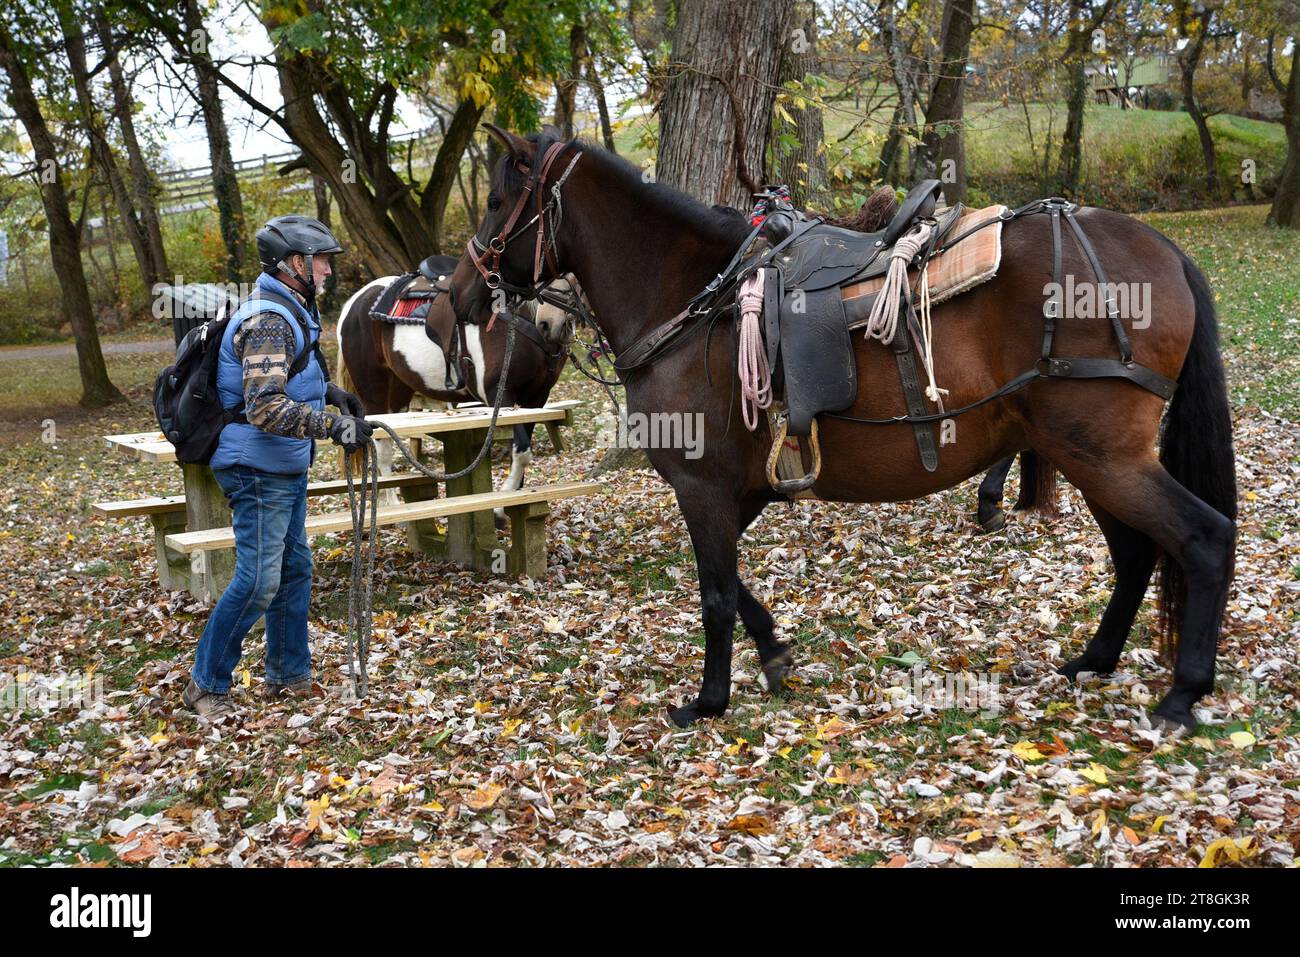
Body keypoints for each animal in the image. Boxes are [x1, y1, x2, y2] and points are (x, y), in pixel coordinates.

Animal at [336, 255, 573, 513]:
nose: (552, 324)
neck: (519, 317)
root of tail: (353, 303)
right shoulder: (501, 395)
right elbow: (521, 452)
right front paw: (501, 508)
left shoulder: (536, 398)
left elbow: (521, 451)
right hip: (373, 394)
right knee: (382, 448)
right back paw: (392, 505)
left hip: (399, 393)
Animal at [449, 127, 1237, 732]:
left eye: (496, 202)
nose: (459, 293)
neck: (698, 302)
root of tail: (1165, 251)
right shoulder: (747, 484)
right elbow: (737, 585)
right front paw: (773, 652)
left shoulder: (702, 485)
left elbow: (715, 592)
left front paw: (710, 700)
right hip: (1085, 456)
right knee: (1136, 555)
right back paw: (1095, 660)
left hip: (1105, 456)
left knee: (1201, 539)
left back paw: (1183, 691)